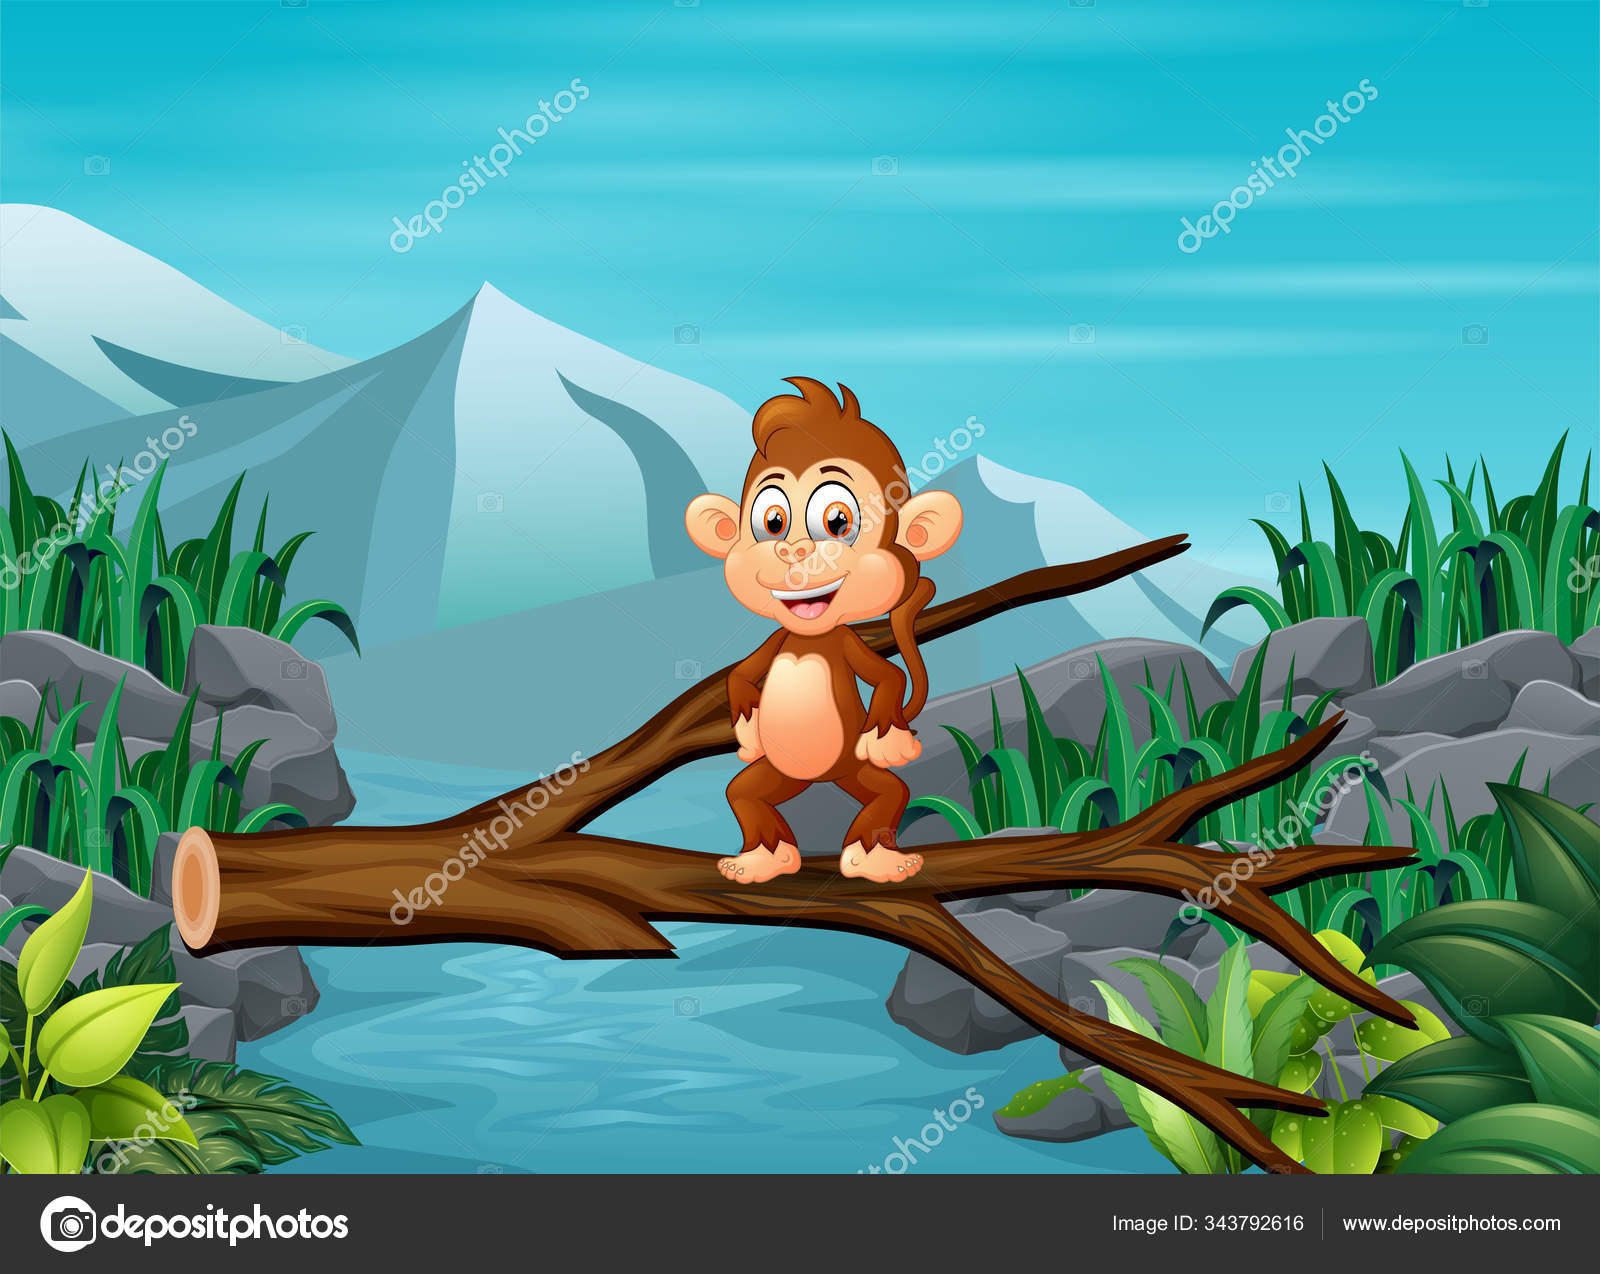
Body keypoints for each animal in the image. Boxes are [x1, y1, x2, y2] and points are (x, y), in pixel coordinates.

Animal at [684, 378, 963, 885]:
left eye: (837, 521)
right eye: (772, 521)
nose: (793, 549)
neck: (809, 638)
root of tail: (817, 779)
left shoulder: (844, 641)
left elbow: (888, 677)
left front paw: (886, 738)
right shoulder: (777, 640)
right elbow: (740, 675)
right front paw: (749, 730)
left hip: (854, 772)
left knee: (889, 795)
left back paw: (880, 858)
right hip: (778, 777)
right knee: (742, 794)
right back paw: (762, 858)